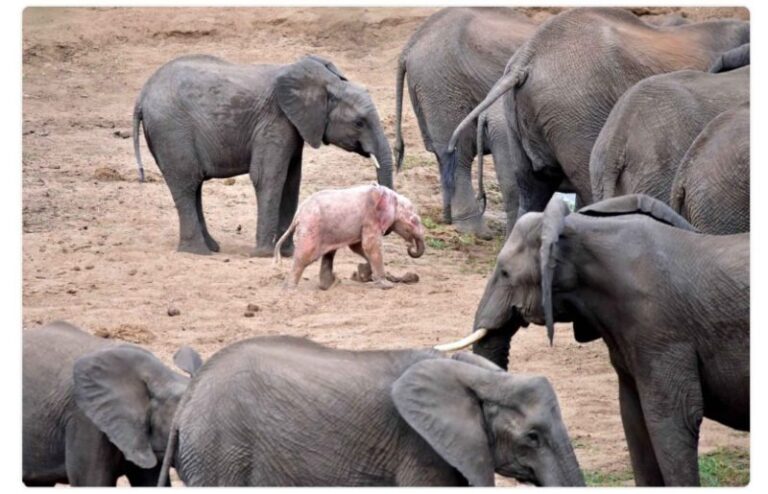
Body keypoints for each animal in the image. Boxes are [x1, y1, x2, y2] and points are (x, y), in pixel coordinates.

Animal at [133, 54, 393, 257]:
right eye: (359, 122)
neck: (325, 83)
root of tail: (142, 95)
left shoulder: (292, 126)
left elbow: (291, 181)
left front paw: (288, 254)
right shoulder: (274, 121)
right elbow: (269, 177)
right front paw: (265, 254)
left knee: (193, 186)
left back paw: (212, 247)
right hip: (172, 130)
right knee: (186, 184)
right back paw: (198, 251)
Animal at [393, 7, 540, 238]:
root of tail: (411, 44)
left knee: (442, 154)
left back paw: (449, 219)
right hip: (443, 84)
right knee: (458, 154)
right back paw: (476, 231)